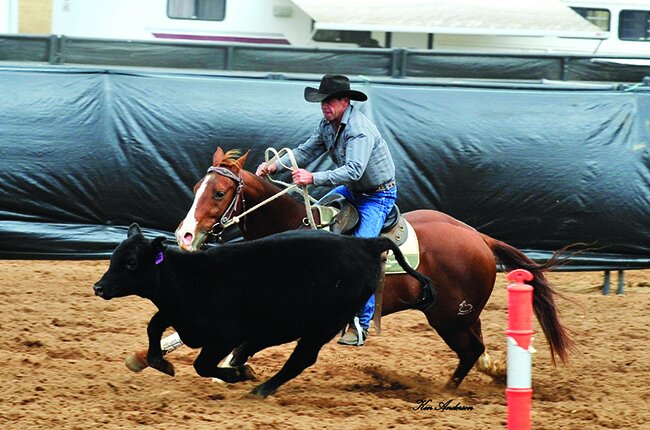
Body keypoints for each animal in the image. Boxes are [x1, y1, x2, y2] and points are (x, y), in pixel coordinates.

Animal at [170, 147, 573, 388]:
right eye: (197, 185)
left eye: (219, 192)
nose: (184, 235)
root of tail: (479, 238)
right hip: (463, 315)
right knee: (477, 349)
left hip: (448, 318)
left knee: (469, 352)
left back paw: (447, 391)